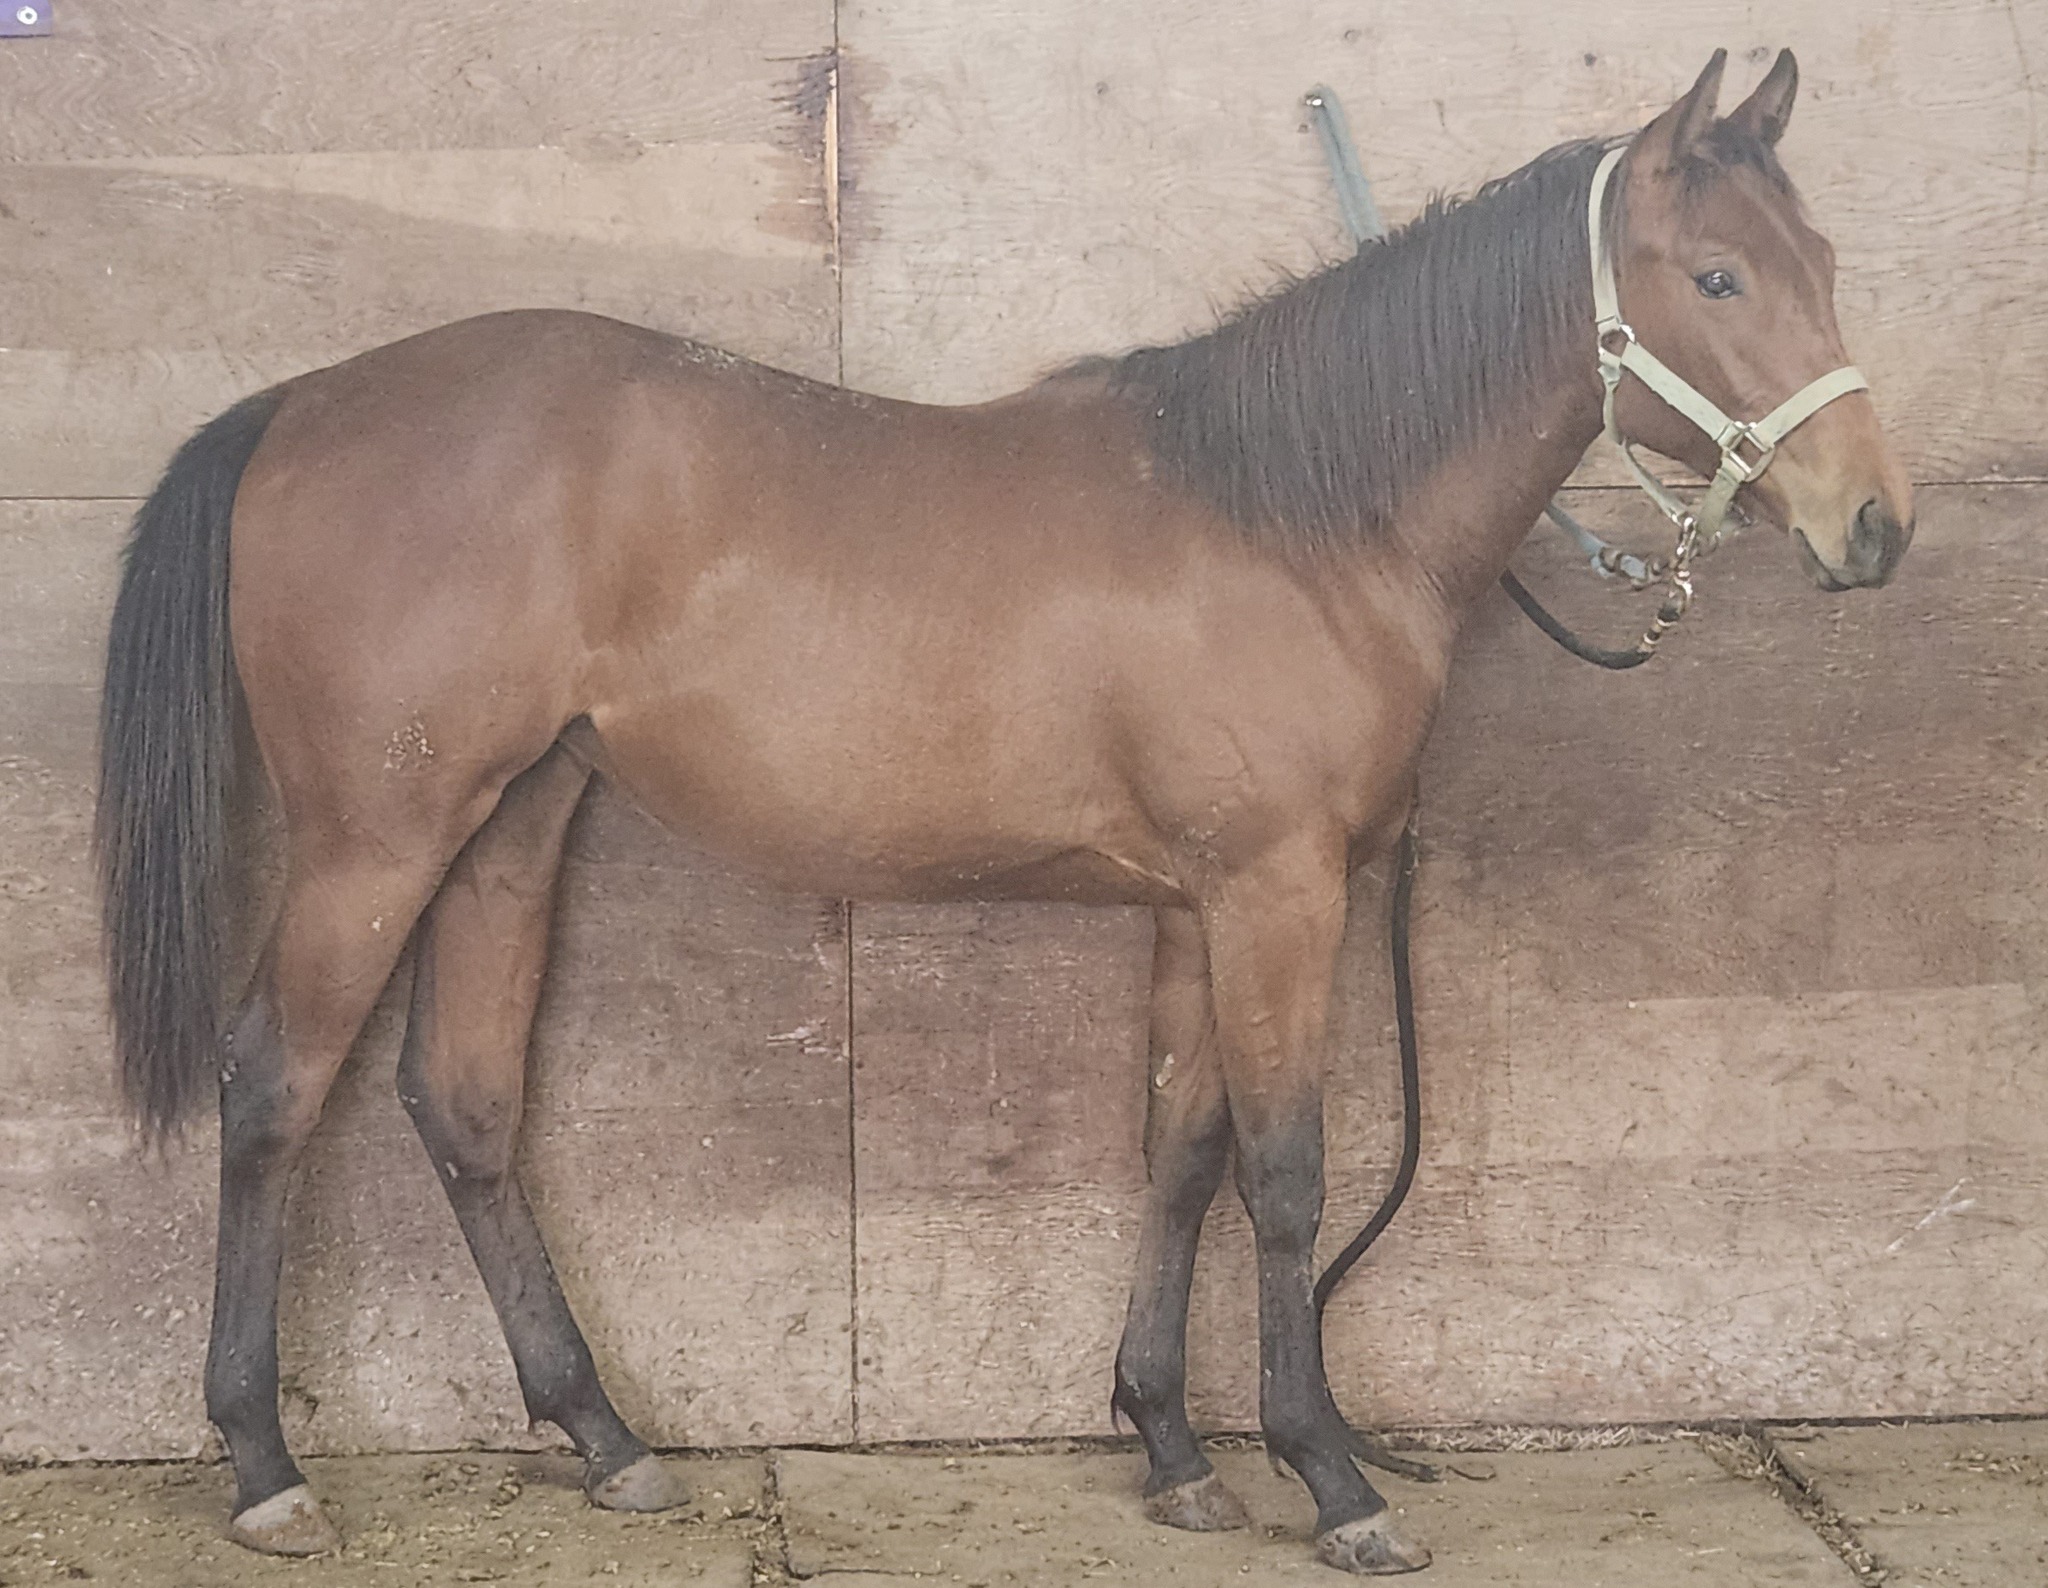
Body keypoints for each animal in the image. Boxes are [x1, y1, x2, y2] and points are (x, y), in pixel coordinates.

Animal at [95, 49, 1910, 1575]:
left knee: (461, 1102)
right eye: (1718, 276)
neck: (1295, 513)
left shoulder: (1197, 906)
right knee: (274, 1087)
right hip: (376, 840)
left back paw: (603, 1434)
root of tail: (304, 403)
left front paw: (1171, 1447)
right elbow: (1287, 1174)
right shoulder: (1279, 893)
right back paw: (263, 1464)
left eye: (1821, 260)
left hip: (512, 825)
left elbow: (1179, 1153)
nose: (1875, 527)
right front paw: (1330, 1475)